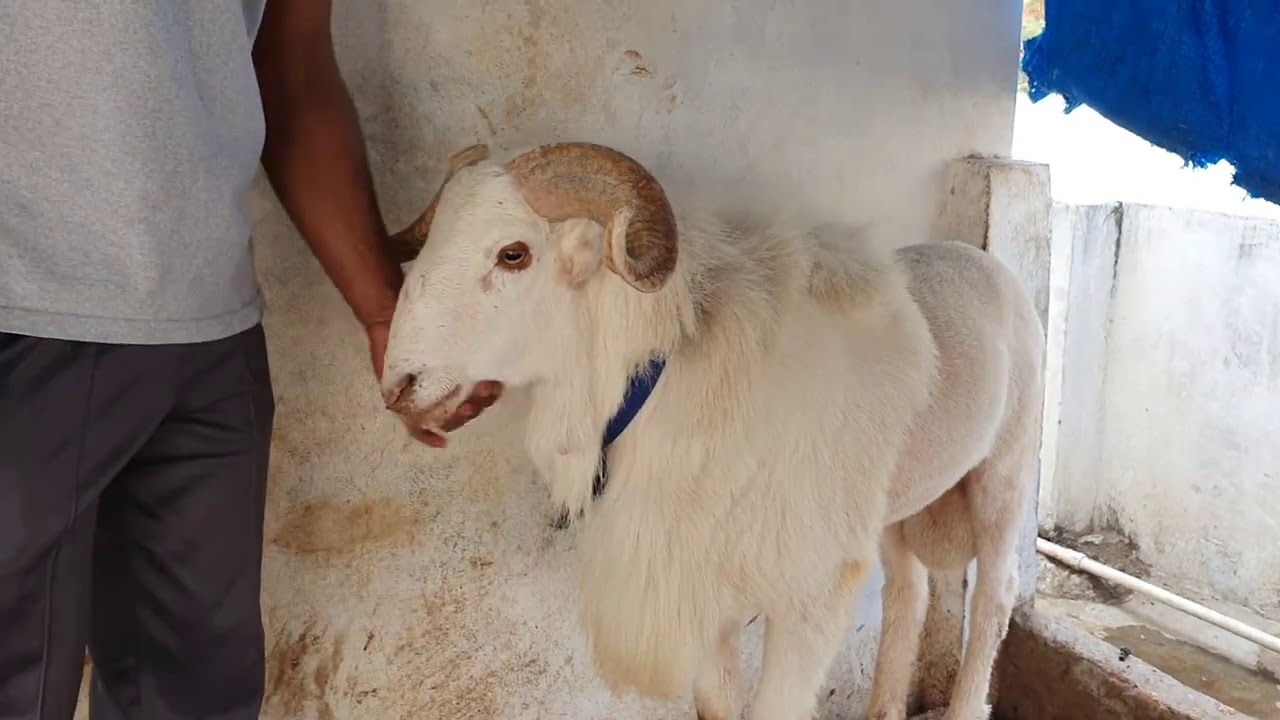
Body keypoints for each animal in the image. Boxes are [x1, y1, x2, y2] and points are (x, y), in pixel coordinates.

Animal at [379, 141, 1045, 720]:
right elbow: (716, 705)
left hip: (1004, 476)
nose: (398, 388)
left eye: (513, 254)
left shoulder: (811, 599)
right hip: (891, 511)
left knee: (995, 596)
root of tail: (984, 260)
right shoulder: (702, 588)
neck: (666, 378)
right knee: (909, 593)